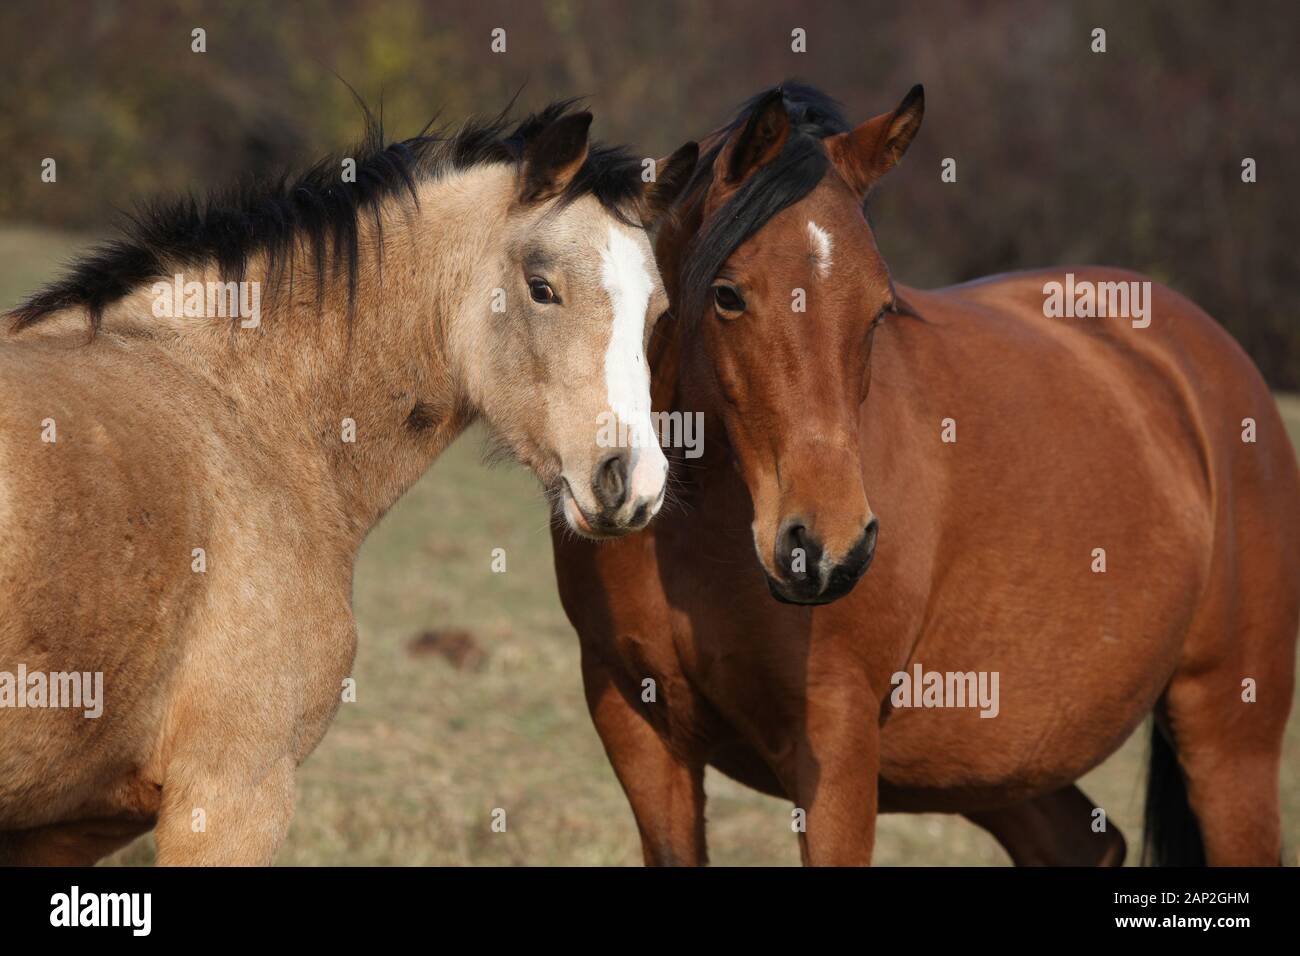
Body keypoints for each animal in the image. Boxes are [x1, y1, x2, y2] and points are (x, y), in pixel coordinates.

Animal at [0, 101, 696, 864]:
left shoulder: (57, 831)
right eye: (543, 290)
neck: (242, 409)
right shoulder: (233, 794)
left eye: (658, 313)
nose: (634, 482)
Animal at [551, 83, 1300, 866]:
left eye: (879, 308)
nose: (825, 550)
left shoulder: (835, 744)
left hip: (1227, 738)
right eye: (728, 295)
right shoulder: (639, 730)